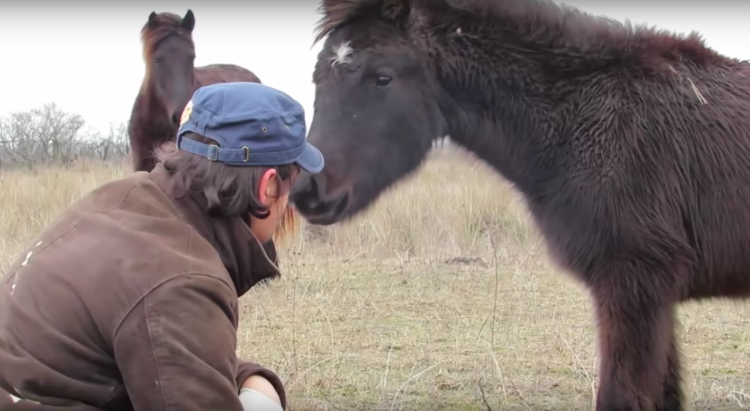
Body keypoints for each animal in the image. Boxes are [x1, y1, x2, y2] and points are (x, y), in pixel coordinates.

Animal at [290, 0, 750, 410]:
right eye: (316, 77)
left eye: (382, 77)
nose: (308, 190)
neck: (581, 119)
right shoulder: (651, 299)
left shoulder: (634, 285)